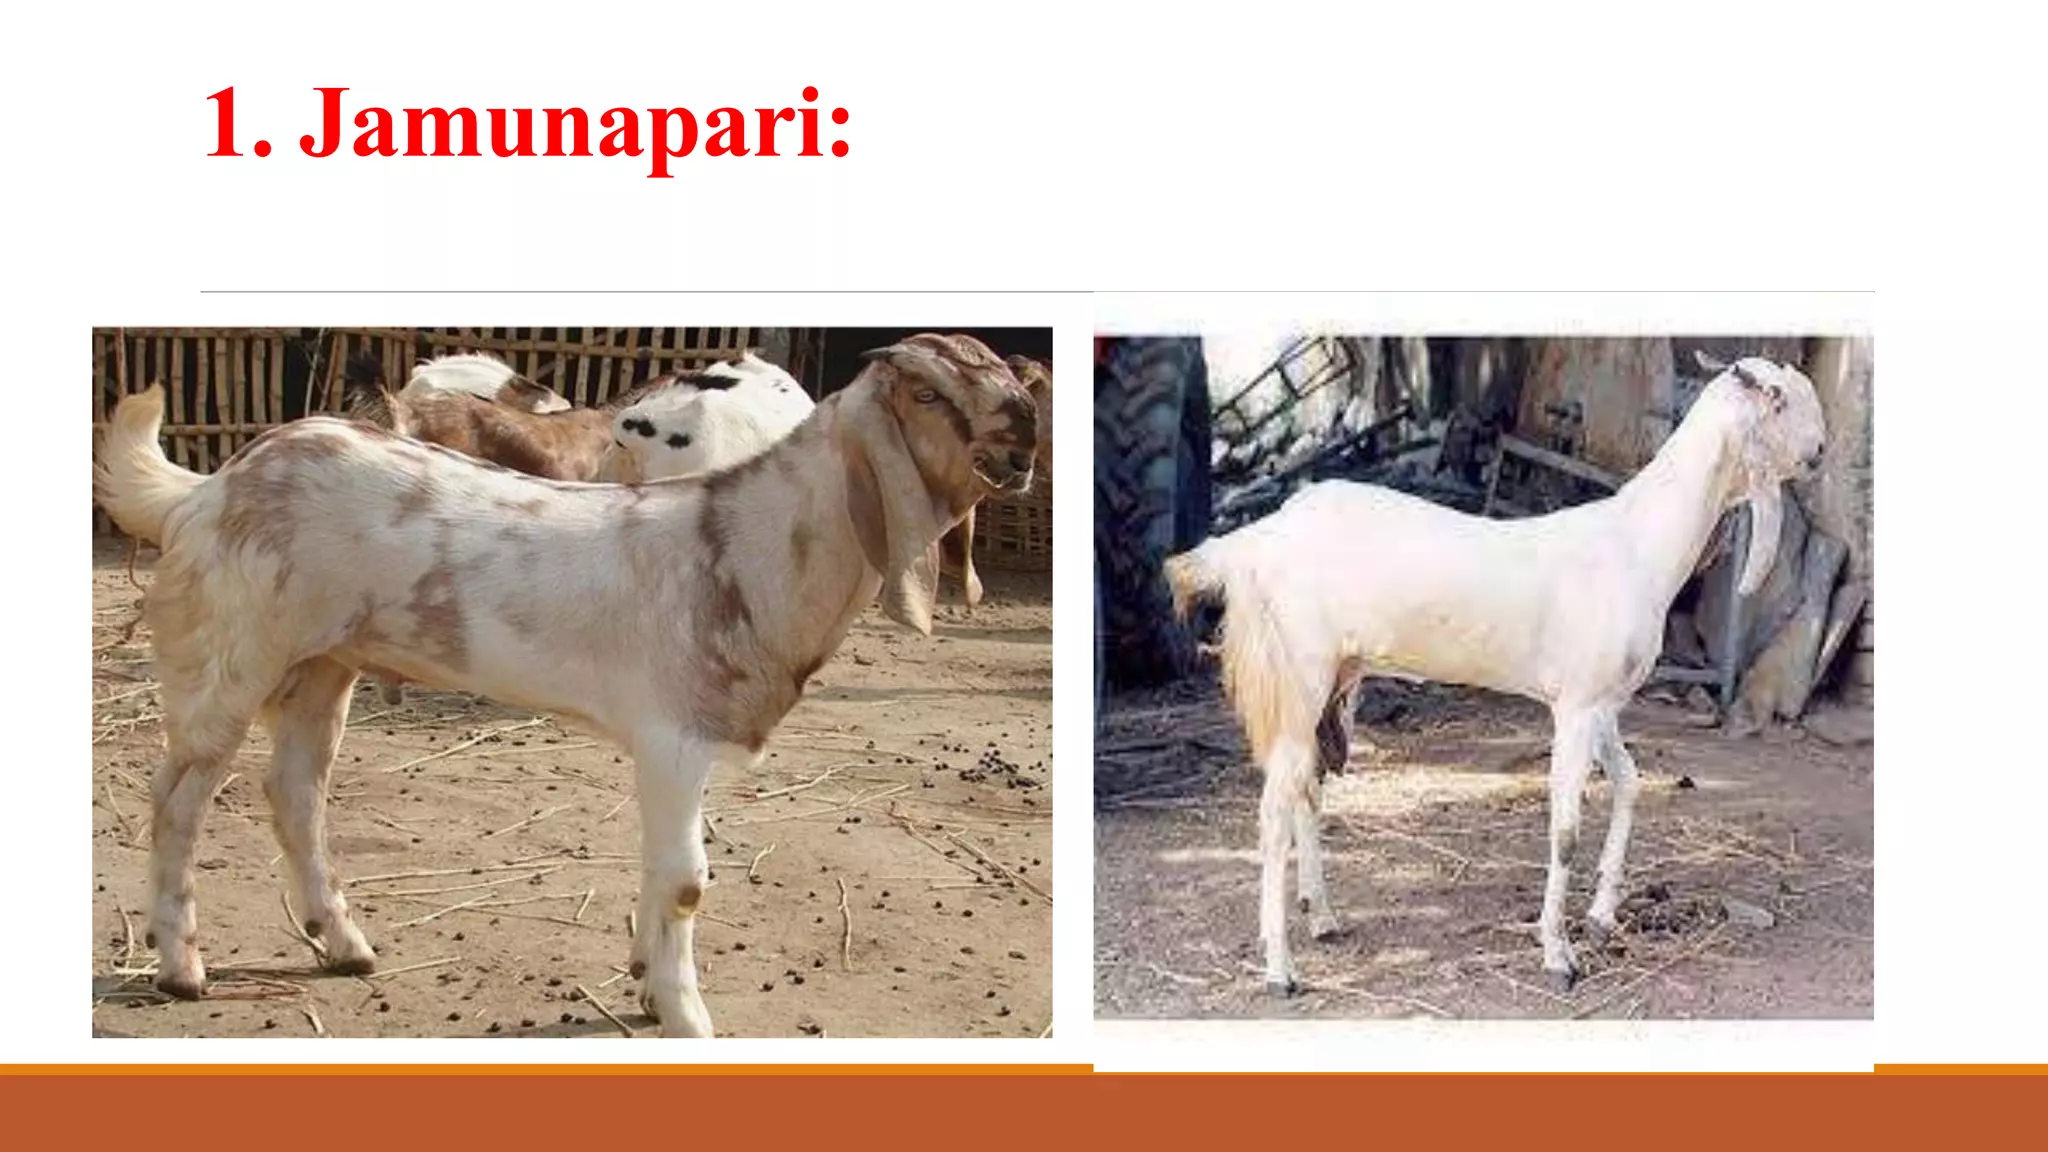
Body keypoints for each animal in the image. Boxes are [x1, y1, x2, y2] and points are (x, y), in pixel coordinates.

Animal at [1163, 355, 1826, 993]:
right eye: (1780, 399)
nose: (1820, 453)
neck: (1637, 545)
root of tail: (1254, 541)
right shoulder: (1576, 705)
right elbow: (1566, 830)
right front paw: (1558, 955)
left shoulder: (1602, 703)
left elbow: (1631, 782)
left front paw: (1602, 914)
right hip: (1298, 675)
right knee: (1274, 811)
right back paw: (1281, 970)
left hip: (1334, 679)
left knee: (1306, 788)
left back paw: (1322, 916)